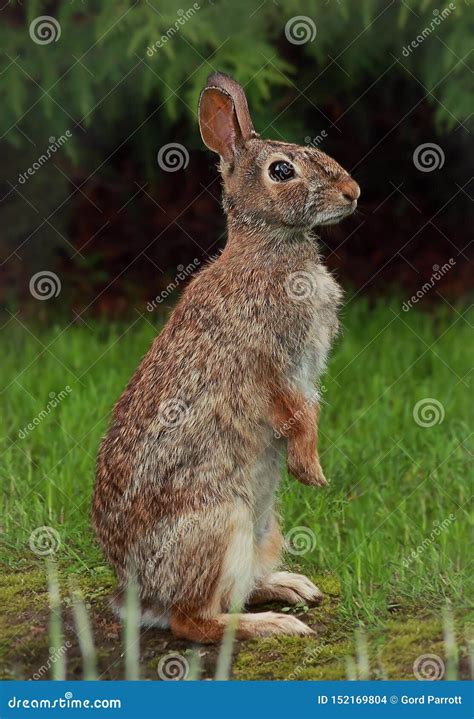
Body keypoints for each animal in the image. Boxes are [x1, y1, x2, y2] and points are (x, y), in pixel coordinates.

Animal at [92, 72, 360, 643]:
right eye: (282, 170)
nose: (353, 193)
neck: (270, 248)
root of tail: (138, 596)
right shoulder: (276, 364)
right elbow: (296, 414)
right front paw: (312, 472)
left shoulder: (304, 372)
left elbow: (309, 408)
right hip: (221, 524)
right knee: (195, 621)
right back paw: (275, 624)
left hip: (263, 525)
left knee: (235, 591)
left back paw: (291, 587)